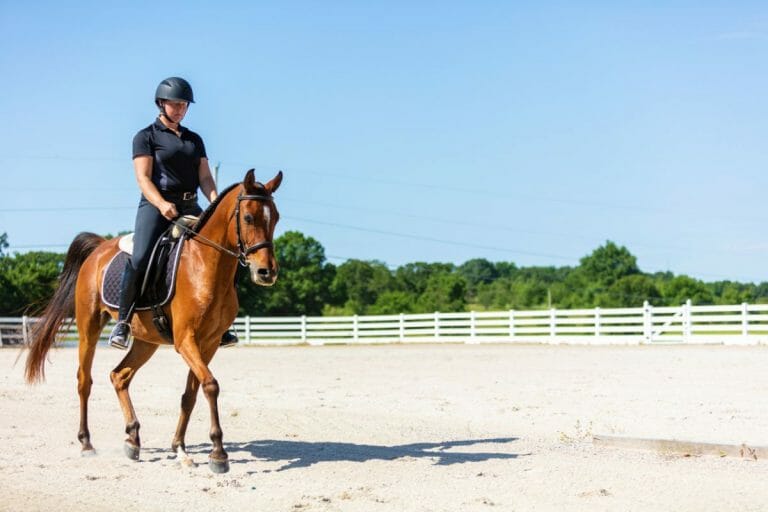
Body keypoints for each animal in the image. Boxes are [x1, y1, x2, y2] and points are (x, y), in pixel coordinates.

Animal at [24, 169, 282, 473]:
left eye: (276, 217)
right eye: (249, 218)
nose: (266, 272)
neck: (204, 264)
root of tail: (99, 249)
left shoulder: (207, 344)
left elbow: (191, 394)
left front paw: (180, 448)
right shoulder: (186, 341)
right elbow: (210, 385)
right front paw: (219, 453)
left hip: (146, 341)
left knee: (119, 376)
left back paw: (132, 438)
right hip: (89, 328)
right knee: (84, 381)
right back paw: (87, 443)